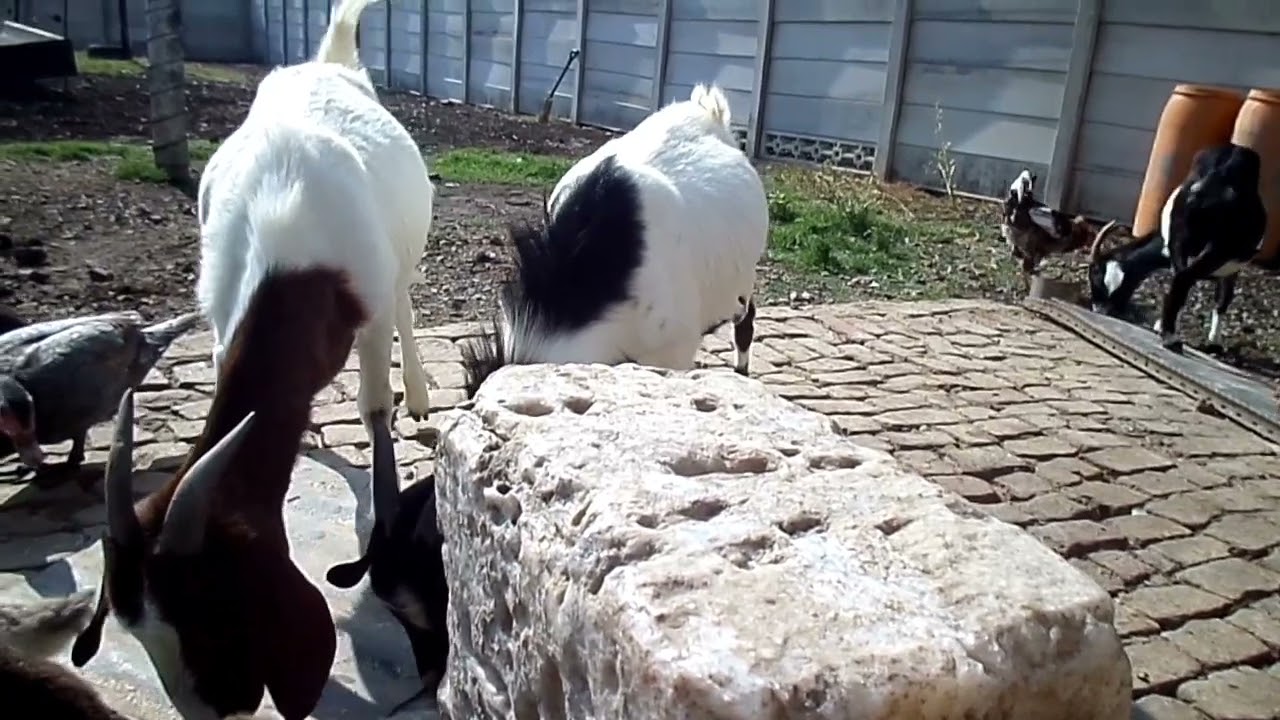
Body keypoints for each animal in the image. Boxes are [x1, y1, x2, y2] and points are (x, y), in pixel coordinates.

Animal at [197, 0, 435, 431]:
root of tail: (328, 63)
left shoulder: (373, 305)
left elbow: (374, 404)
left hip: (398, 266)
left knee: (404, 309)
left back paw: (419, 398)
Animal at [1087, 143, 1267, 352]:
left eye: (1096, 279)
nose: (1098, 308)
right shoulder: (1230, 268)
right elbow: (1223, 299)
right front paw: (1214, 341)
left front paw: (1161, 325)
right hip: (1219, 249)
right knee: (1184, 279)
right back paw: (1171, 338)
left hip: (1182, 238)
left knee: (1180, 280)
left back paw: (1167, 332)